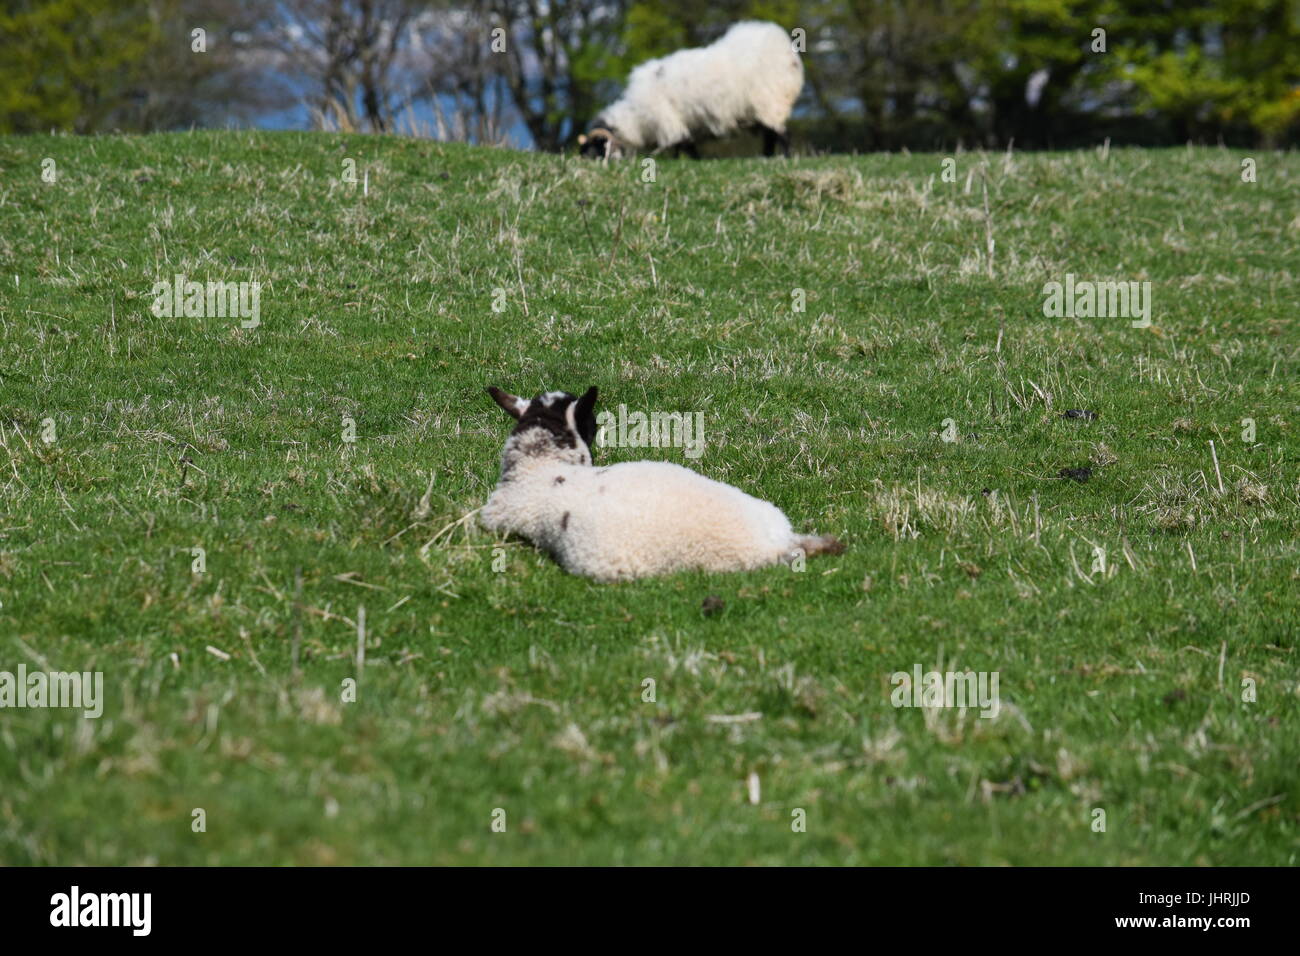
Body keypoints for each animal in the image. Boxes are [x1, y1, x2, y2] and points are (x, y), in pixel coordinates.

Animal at [578, 21, 803, 161]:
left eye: (595, 148)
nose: (585, 163)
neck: (635, 119)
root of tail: (784, 47)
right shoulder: (680, 123)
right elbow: (685, 145)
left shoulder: (669, 122)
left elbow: (683, 146)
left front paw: (691, 161)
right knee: (770, 135)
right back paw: (766, 157)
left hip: (771, 100)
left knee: (782, 134)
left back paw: (783, 157)